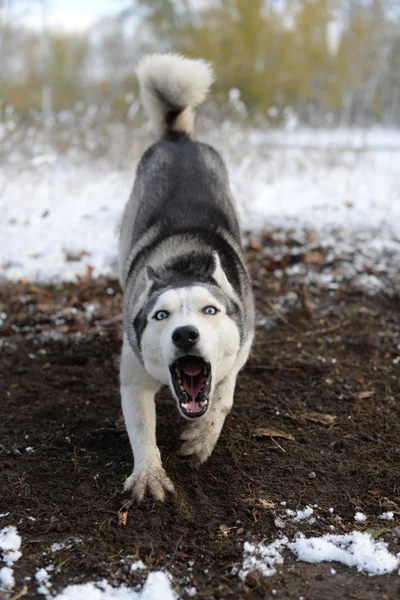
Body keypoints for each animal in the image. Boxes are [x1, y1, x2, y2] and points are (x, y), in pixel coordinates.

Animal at [119, 52, 255, 502]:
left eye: (209, 310)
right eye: (161, 316)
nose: (185, 334)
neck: (183, 262)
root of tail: (179, 139)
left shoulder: (244, 341)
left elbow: (223, 396)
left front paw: (202, 436)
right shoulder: (134, 372)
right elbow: (141, 426)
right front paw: (148, 471)